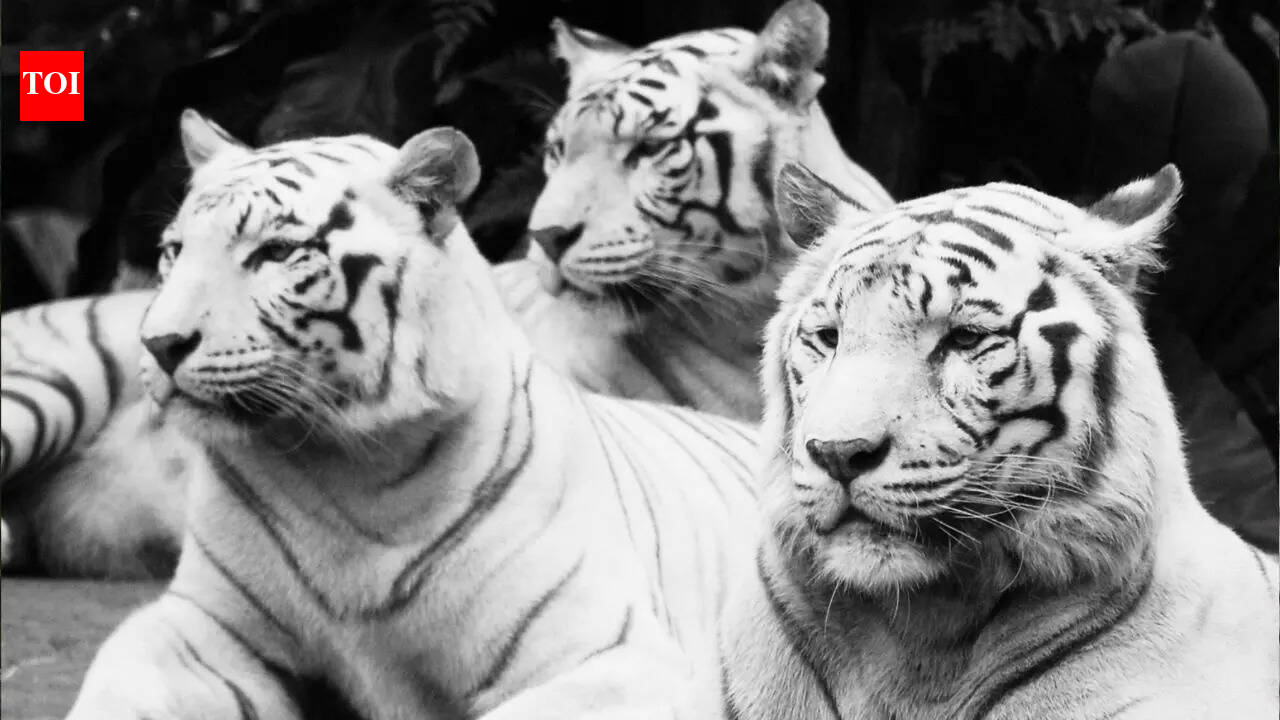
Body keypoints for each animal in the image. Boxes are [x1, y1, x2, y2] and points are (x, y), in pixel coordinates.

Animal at [65, 124, 760, 720]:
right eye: (173, 252)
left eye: (276, 252)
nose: (159, 343)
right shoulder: (201, 624)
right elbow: (118, 685)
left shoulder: (612, 658)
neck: (335, 467)